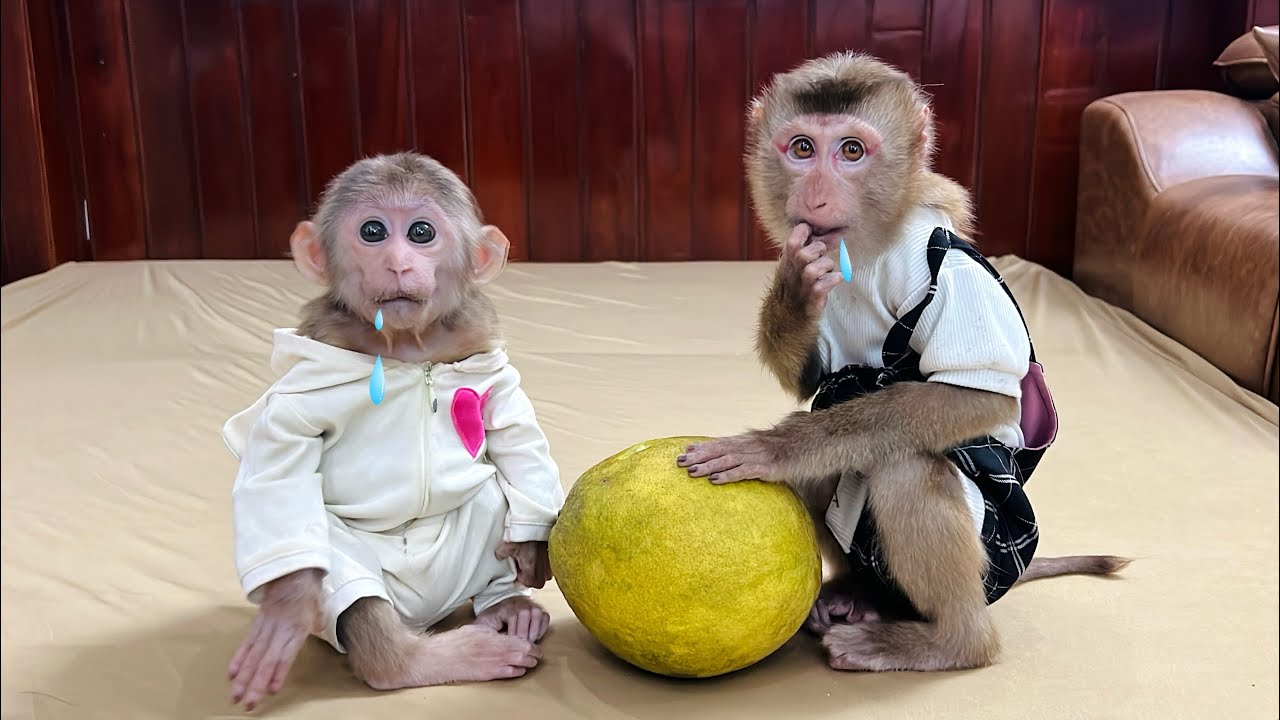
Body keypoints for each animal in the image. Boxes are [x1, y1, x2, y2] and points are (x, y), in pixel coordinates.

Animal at [220, 152, 565, 710]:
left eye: (421, 232)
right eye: (373, 231)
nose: (399, 262)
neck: (408, 351)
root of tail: (424, 614)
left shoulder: (490, 364)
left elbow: (516, 432)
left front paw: (532, 549)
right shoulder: (300, 392)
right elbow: (279, 460)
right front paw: (284, 612)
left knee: (492, 496)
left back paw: (505, 605)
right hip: (353, 573)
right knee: (344, 578)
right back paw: (413, 660)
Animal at [676, 52, 1130, 672]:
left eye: (851, 151)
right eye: (802, 148)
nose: (815, 198)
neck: (875, 246)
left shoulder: (947, 269)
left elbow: (975, 398)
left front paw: (773, 449)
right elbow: (812, 379)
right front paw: (795, 288)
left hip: (997, 555)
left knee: (902, 458)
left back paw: (952, 641)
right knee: (840, 401)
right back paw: (858, 595)